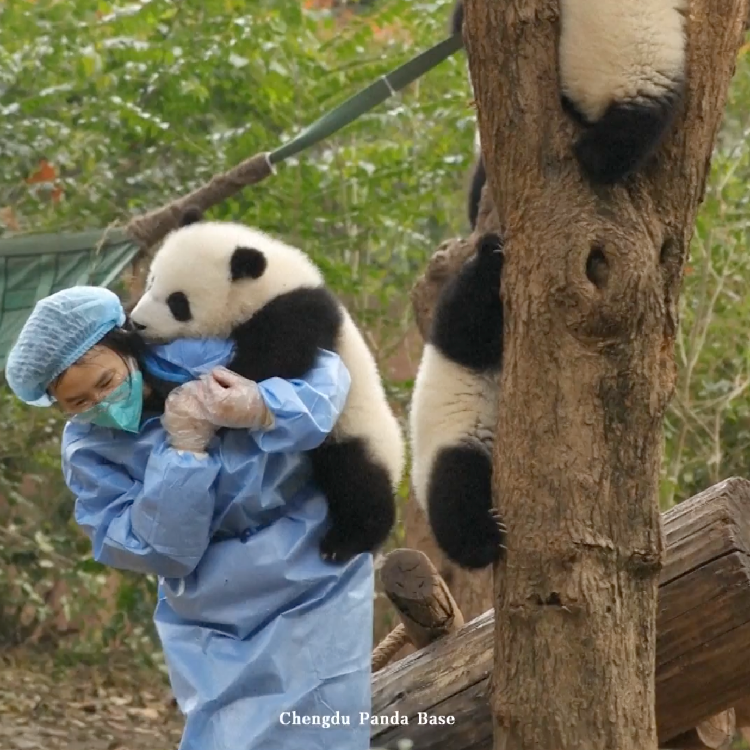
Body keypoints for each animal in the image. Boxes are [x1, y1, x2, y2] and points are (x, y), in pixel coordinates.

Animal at [129, 207, 405, 564]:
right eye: (151, 281)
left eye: (179, 303)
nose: (138, 323)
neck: (268, 286)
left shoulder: (298, 315)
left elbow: (262, 369)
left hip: (357, 429)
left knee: (357, 479)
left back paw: (347, 541)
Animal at [408, 231, 506, 570]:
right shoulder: (459, 335)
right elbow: (468, 319)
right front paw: (492, 251)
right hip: (455, 445)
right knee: (457, 491)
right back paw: (485, 542)